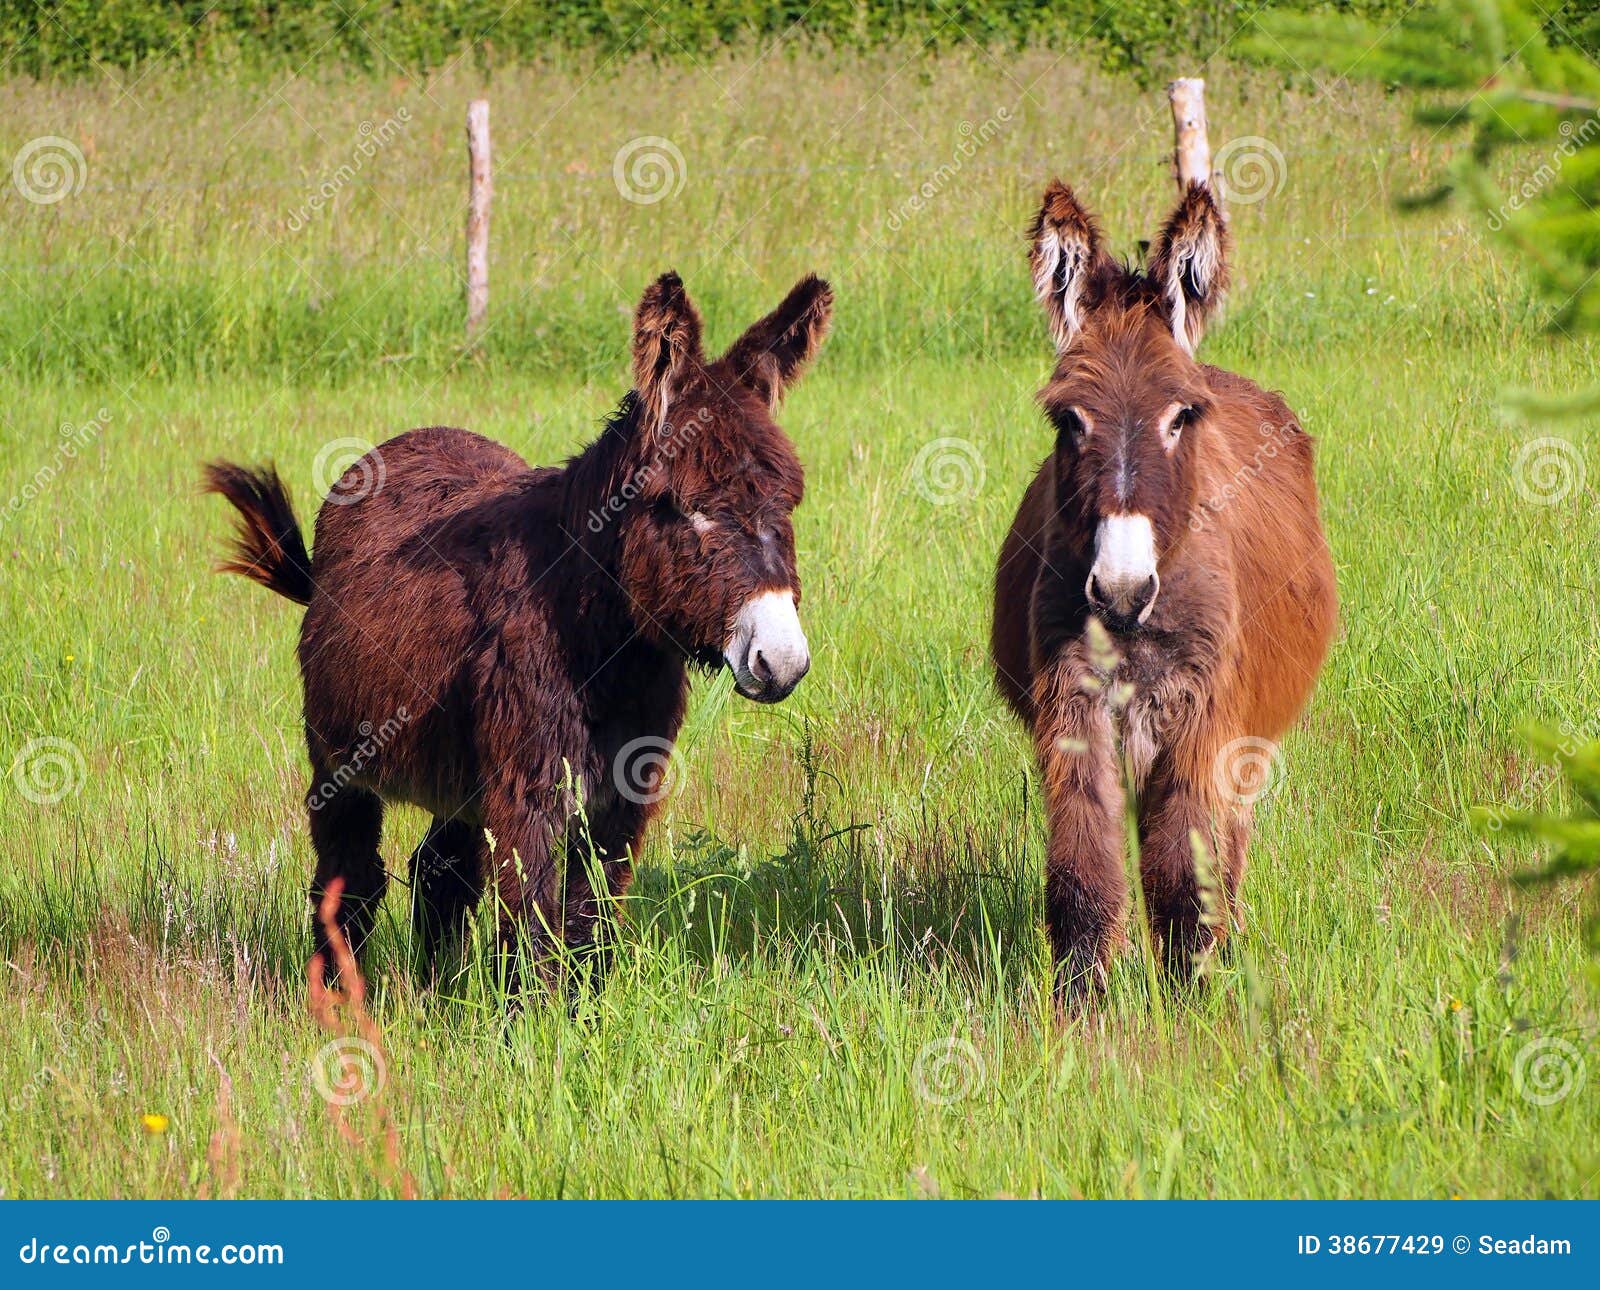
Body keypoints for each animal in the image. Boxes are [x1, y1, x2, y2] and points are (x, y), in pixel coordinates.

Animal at [204, 271, 833, 990]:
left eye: (789, 503)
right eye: (682, 506)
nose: (781, 661)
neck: (603, 648)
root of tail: (402, 442)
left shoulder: (620, 797)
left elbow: (589, 927)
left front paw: (581, 1016)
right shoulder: (526, 793)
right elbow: (534, 928)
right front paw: (529, 1020)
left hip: (454, 774)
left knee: (439, 872)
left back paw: (435, 993)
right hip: (340, 757)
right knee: (349, 878)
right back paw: (340, 994)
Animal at [991, 179, 1336, 1006]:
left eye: (1182, 416)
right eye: (1068, 418)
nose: (1121, 592)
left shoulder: (1203, 715)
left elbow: (1185, 875)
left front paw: (1191, 1005)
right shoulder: (1073, 707)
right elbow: (1082, 875)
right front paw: (1078, 1010)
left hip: (1247, 733)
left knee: (1228, 842)